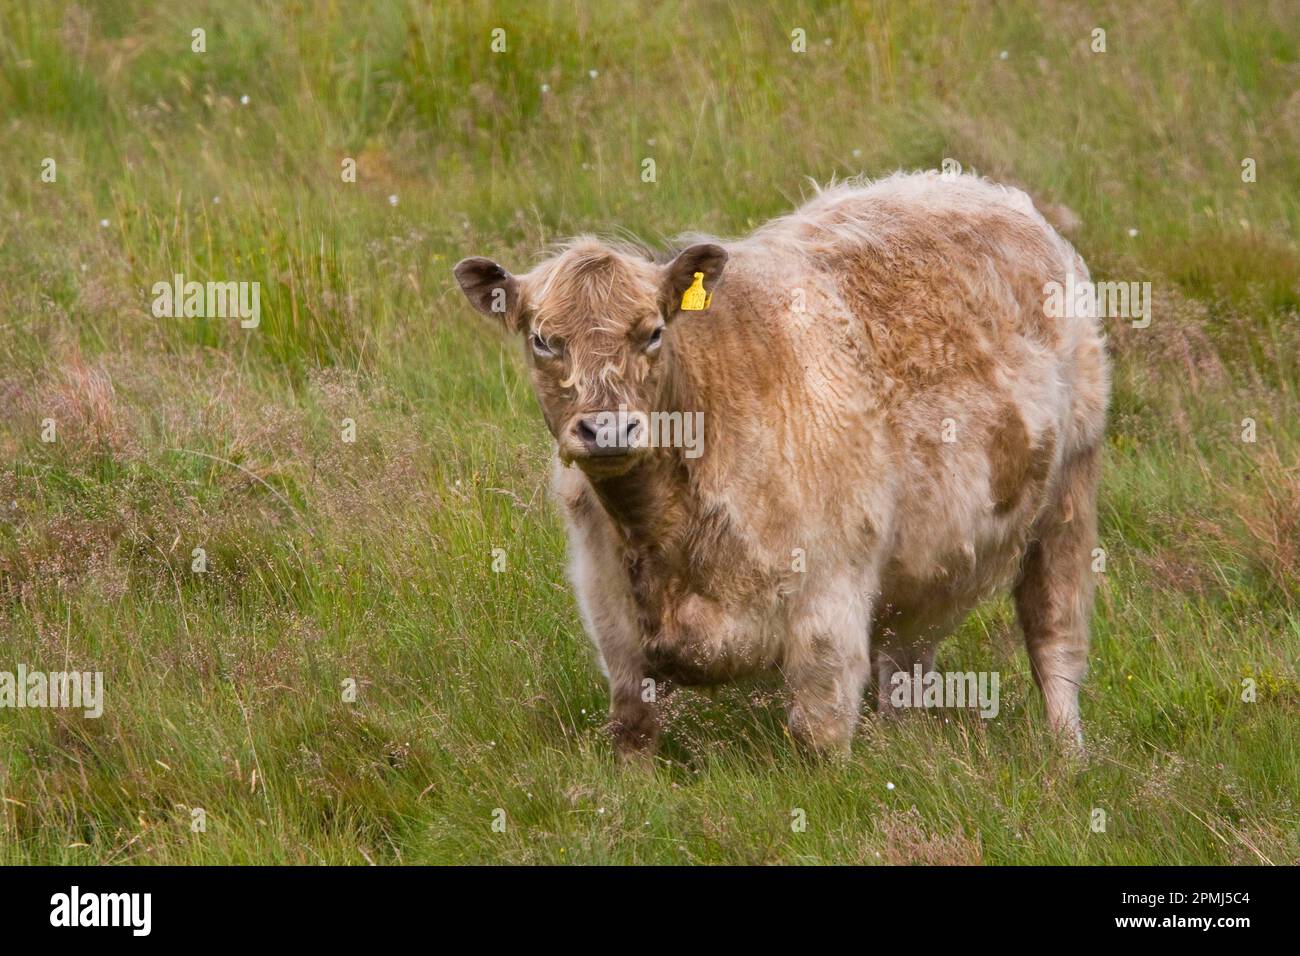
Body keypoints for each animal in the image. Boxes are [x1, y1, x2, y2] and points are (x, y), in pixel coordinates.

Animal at [454, 171, 1109, 759]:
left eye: (654, 332)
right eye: (543, 339)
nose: (608, 430)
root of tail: (981, 189)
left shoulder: (829, 606)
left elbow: (820, 740)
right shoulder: (612, 617)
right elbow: (632, 731)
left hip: (1069, 493)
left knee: (1055, 639)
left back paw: (1067, 758)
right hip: (925, 561)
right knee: (907, 660)